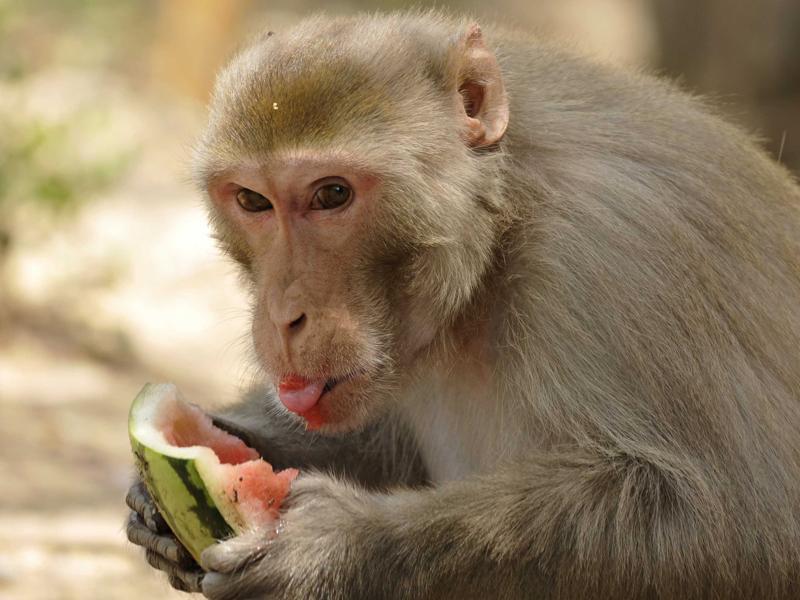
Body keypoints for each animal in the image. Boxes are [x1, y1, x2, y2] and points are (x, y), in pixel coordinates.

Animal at [125, 10, 800, 600]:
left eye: (332, 194)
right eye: (252, 201)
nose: (284, 317)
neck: (501, 219)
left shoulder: (615, 242)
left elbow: (737, 523)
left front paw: (332, 547)